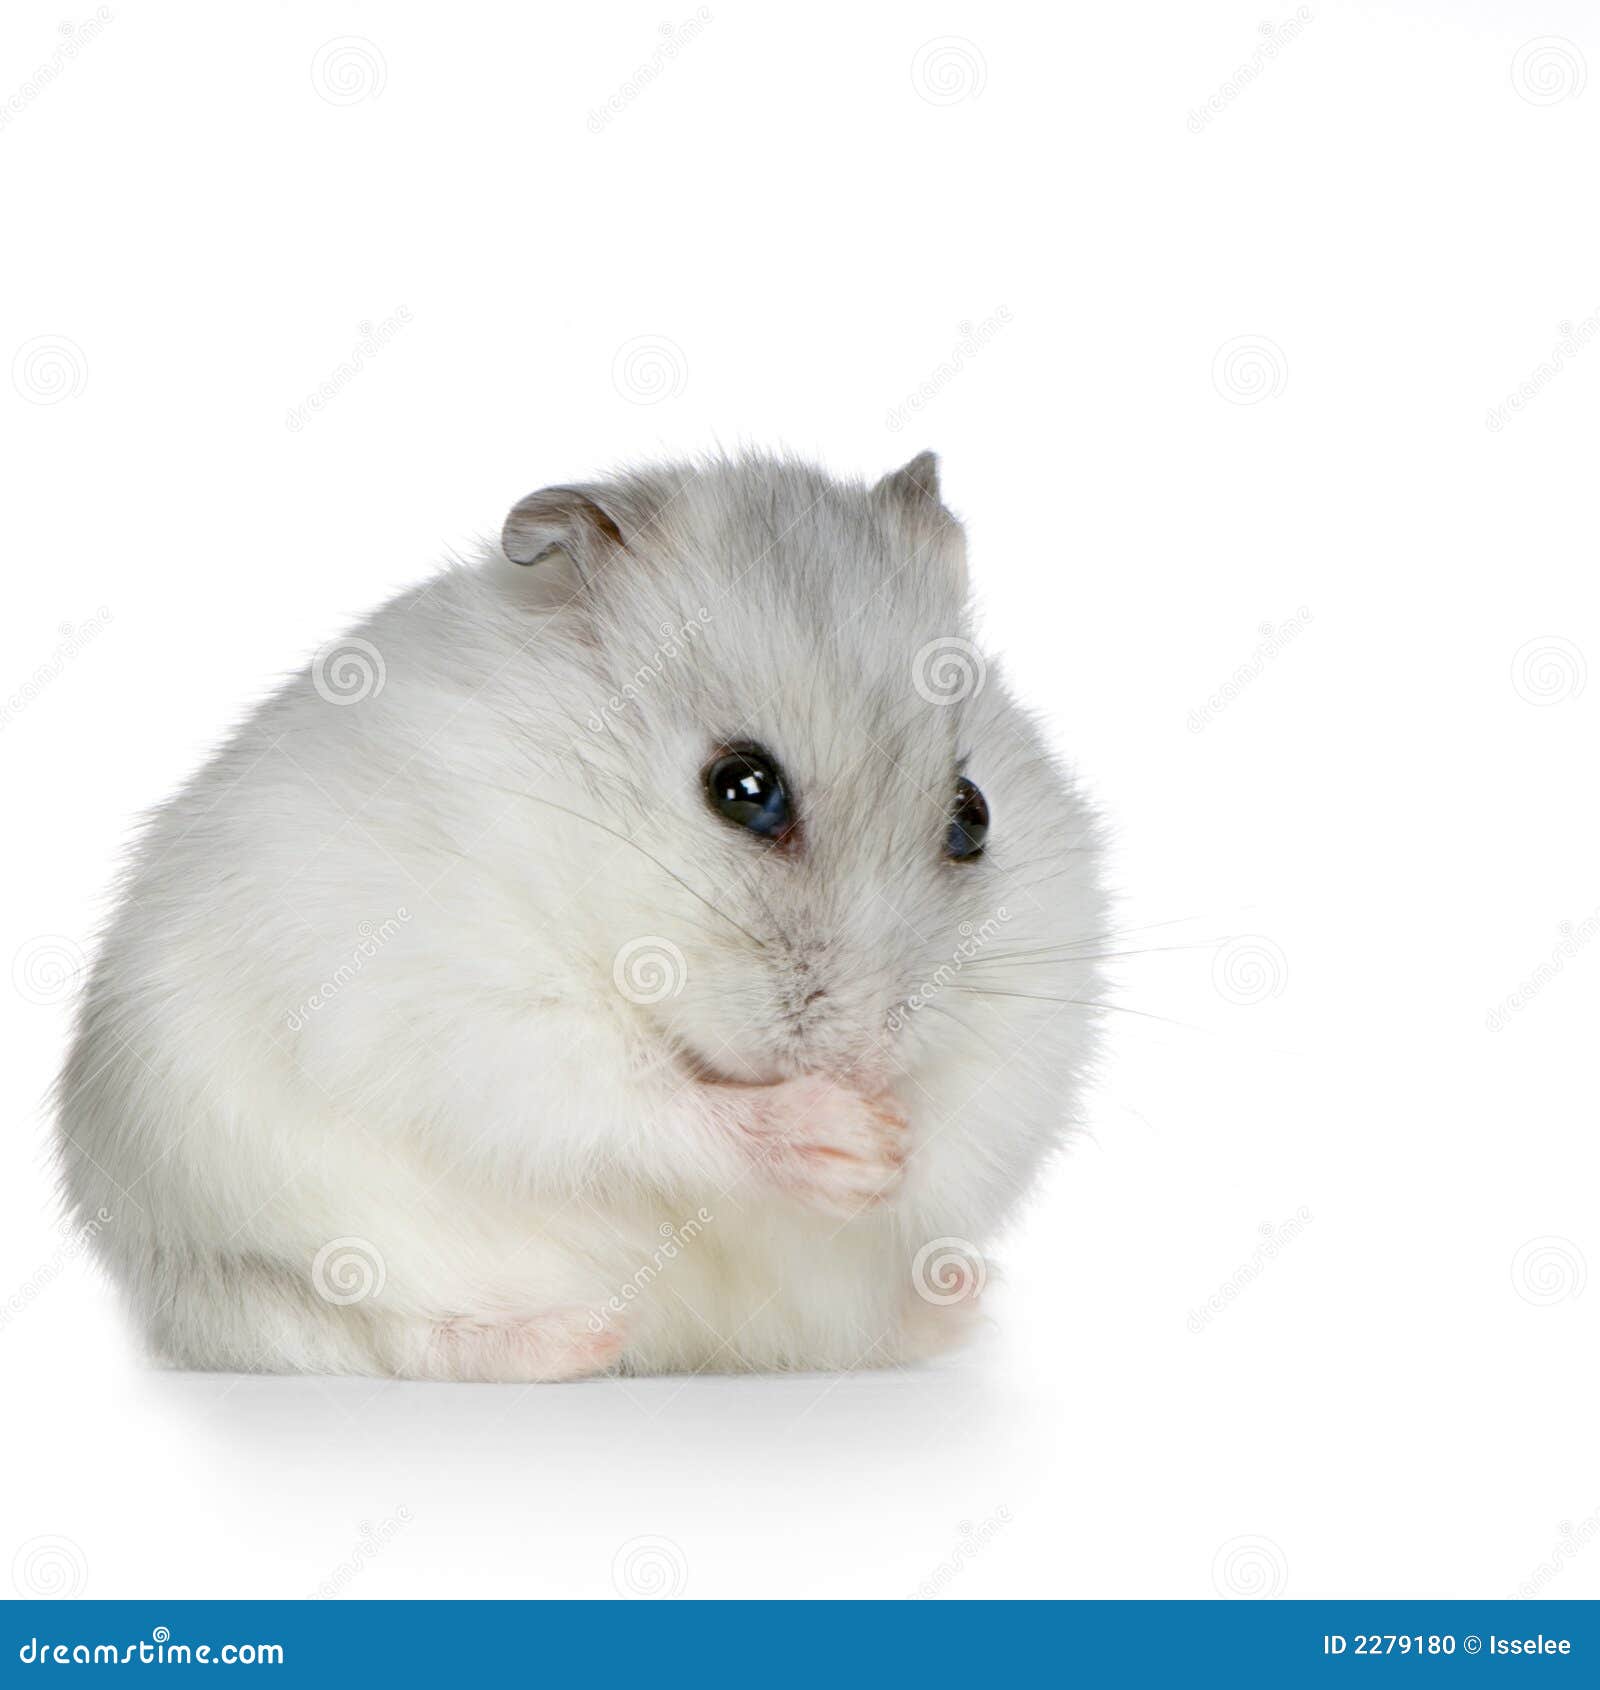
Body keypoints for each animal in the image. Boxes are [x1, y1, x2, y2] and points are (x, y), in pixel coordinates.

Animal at [54, 452, 1106, 1380]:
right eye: (742, 789)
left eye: (972, 814)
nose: (867, 1065)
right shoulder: (473, 1014)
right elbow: (642, 1108)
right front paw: (841, 1138)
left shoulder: (1030, 1037)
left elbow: (960, 1133)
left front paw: (894, 1142)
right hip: (267, 1256)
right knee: (390, 1337)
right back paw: (582, 1336)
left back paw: (956, 1296)